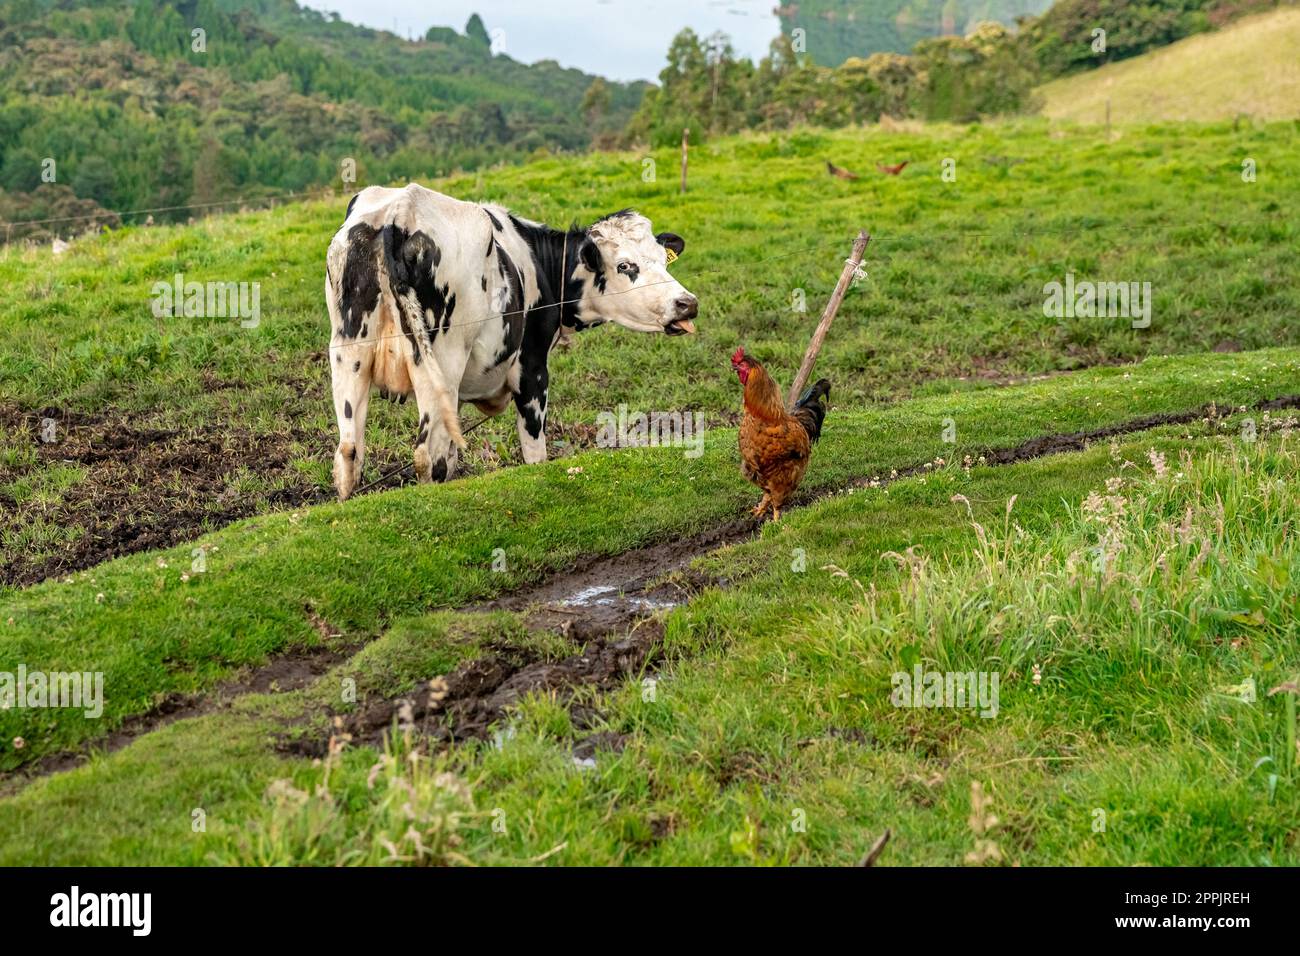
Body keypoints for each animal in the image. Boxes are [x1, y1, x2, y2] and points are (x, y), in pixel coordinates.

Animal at [322, 183, 702, 504]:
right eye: (625, 265)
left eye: (662, 258)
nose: (687, 303)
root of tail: (398, 213)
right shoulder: (532, 368)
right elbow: (534, 452)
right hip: (440, 362)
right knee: (427, 454)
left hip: (349, 353)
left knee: (349, 455)